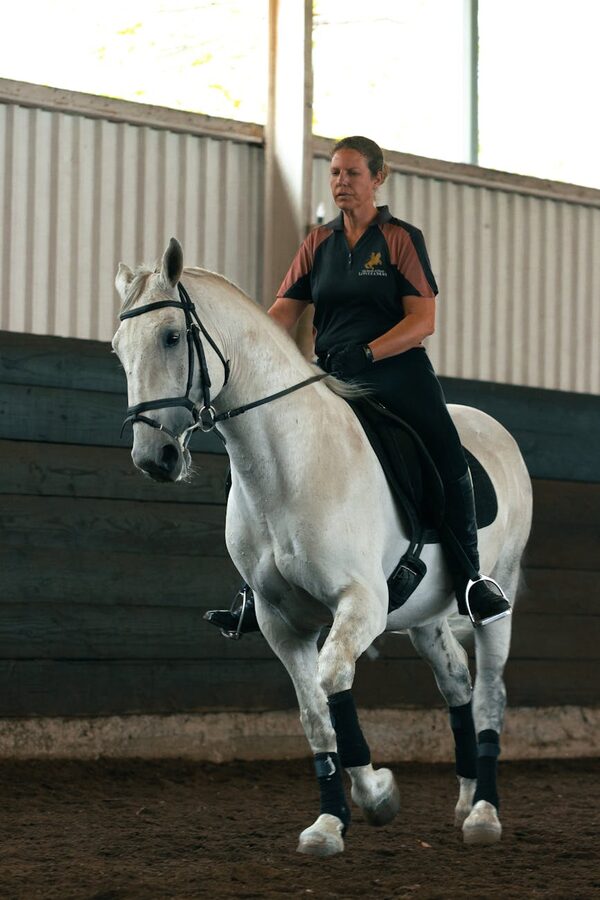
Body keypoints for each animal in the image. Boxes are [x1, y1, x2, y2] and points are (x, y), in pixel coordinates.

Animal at [113, 238, 533, 857]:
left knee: (488, 695)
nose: (154, 458)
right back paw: (462, 800)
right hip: (426, 614)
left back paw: (483, 813)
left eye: (170, 336)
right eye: (118, 350)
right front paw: (330, 822)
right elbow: (315, 715)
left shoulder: (360, 604)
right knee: (456, 680)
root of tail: (495, 430)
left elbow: (334, 680)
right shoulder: (280, 620)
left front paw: (378, 795)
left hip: (495, 596)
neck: (287, 465)